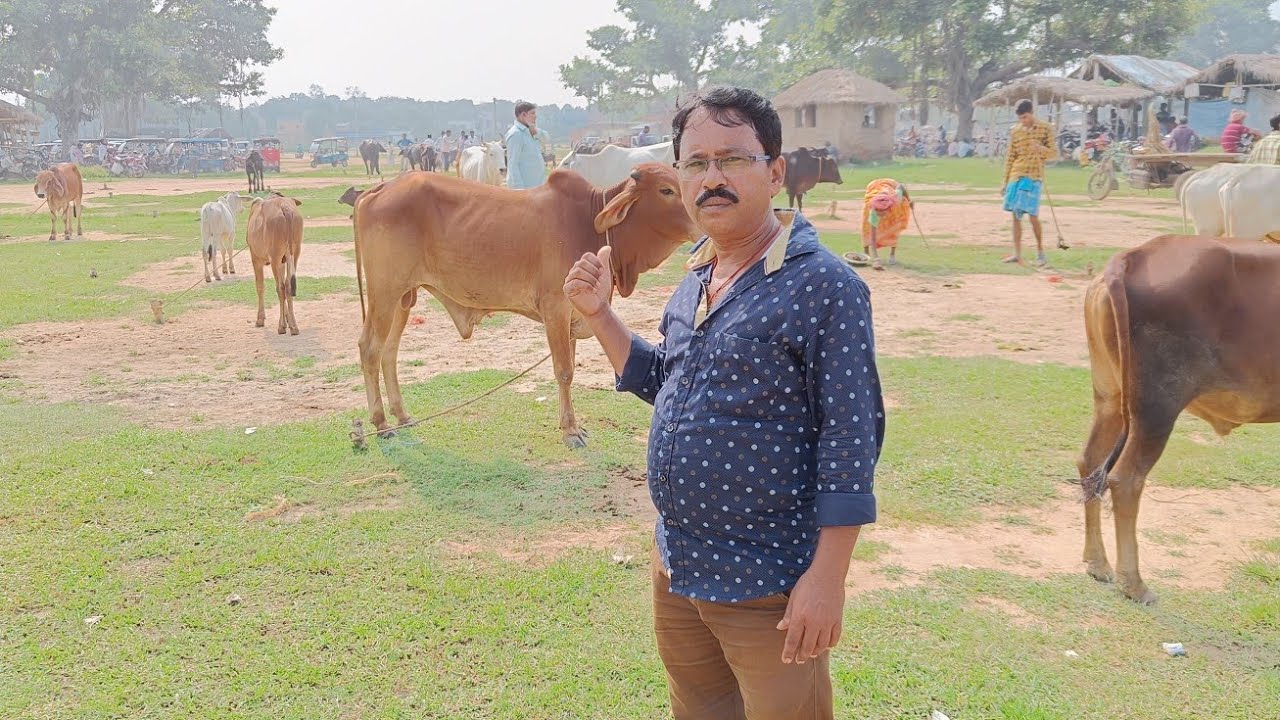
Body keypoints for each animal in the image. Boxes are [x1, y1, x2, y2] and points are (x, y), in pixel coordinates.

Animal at [246, 194, 304, 335]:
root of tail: (284, 206)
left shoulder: (255, 258)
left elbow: (260, 286)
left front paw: (260, 319)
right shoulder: (283, 262)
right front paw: (288, 317)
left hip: (275, 257)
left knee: (280, 288)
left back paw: (281, 326)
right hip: (294, 253)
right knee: (287, 286)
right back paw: (293, 326)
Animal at [350, 163, 698, 446]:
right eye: (666, 190)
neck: (591, 222)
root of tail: (380, 188)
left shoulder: (572, 315)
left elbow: (570, 367)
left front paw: (571, 425)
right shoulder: (556, 308)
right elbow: (564, 371)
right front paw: (570, 431)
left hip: (403, 298)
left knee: (389, 352)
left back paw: (402, 416)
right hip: (385, 292)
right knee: (370, 349)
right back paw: (381, 424)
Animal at [1078, 234, 1280, 604]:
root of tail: (1131, 257)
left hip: (1110, 399)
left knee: (1090, 463)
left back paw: (1098, 564)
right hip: (1156, 410)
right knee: (1125, 480)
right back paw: (1135, 584)